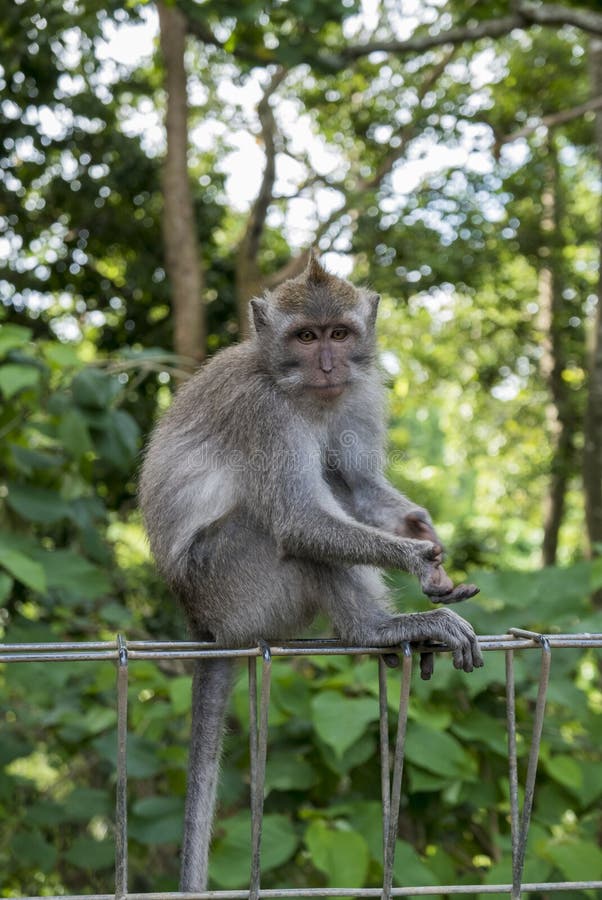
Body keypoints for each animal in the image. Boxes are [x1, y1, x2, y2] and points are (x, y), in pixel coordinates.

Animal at [138, 251, 483, 891]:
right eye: (305, 337)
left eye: (339, 334)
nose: (327, 364)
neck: (299, 391)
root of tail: (202, 624)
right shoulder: (265, 413)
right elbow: (299, 522)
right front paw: (415, 560)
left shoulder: (358, 394)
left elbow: (361, 487)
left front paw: (423, 534)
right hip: (234, 586)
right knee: (286, 536)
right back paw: (376, 630)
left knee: (335, 487)